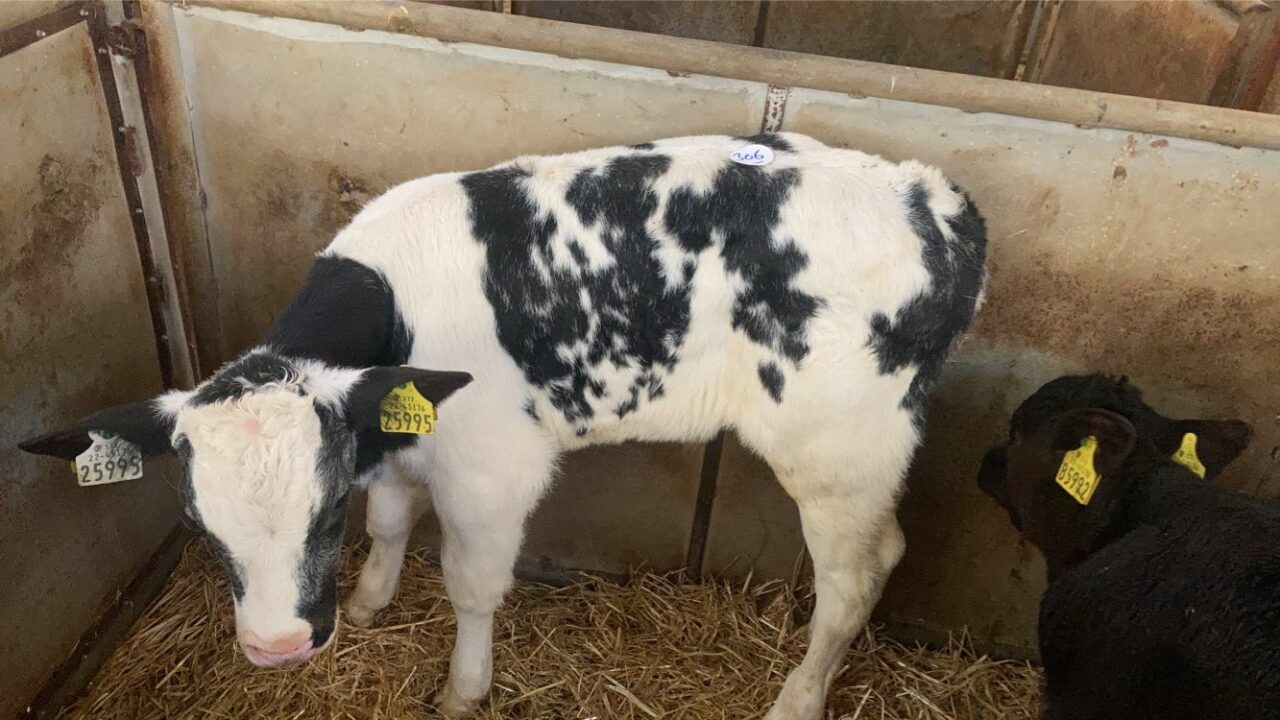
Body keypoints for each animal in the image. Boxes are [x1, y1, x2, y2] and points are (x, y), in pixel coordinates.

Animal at [21, 132, 988, 719]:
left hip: (840, 456)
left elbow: (472, 586)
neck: (396, 308)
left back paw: (798, 696)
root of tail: (930, 197)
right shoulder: (397, 431)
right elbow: (393, 523)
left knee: (858, 576)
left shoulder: (490, 470)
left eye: (322, 514)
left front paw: (463, 687)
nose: (277, 646)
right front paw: (370, 601)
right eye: (196, 522)